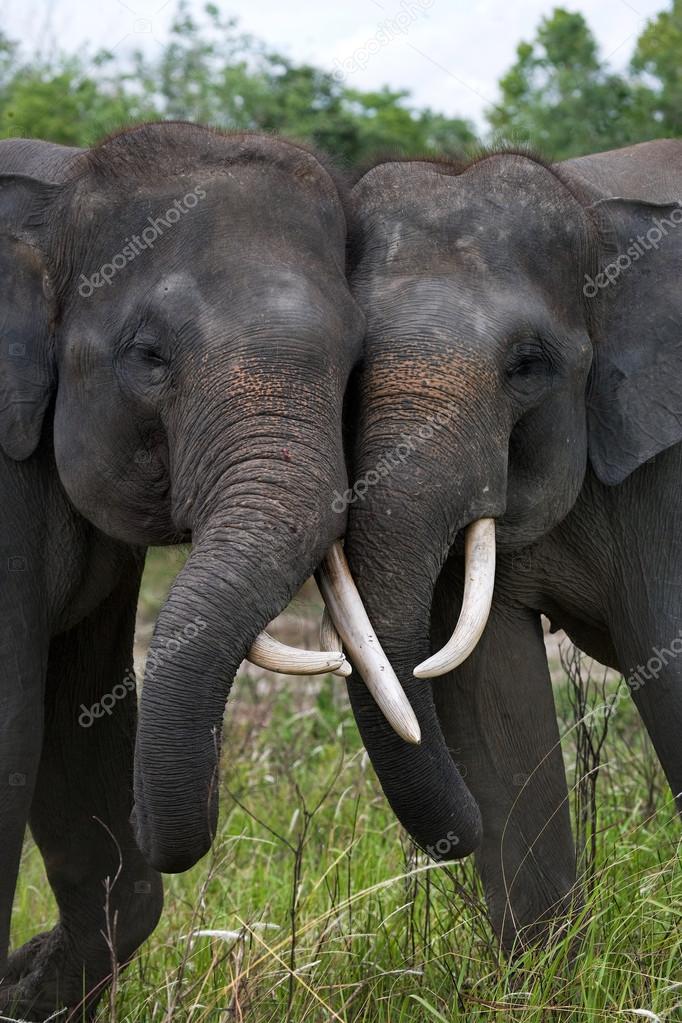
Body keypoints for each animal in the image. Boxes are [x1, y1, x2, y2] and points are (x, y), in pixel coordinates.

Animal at [0, 121, 417, 1019]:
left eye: (356, 359)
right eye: (148, 354)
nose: (18, 959)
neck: (55, 197)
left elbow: (81, 714)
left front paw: (26, 985)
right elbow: (13, 729)